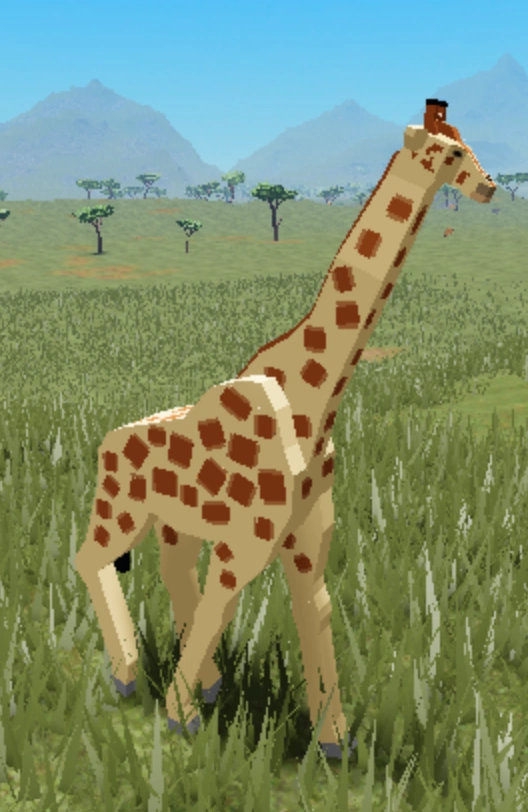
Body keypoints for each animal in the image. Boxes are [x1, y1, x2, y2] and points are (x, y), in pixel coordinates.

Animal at [75, 98, 495, 760]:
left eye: (467, 145)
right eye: (451, 152)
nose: (489, 186)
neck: (313, 401)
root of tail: (106, 442)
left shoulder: (305, 543)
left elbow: (313, 617)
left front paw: (336, 746)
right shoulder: (244, 544)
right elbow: (223, 607)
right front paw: (181, 720)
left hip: (176, 522)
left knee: (171, 568)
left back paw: (207, 682)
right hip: (120, 510)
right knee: (88, 559)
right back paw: (127, 675)